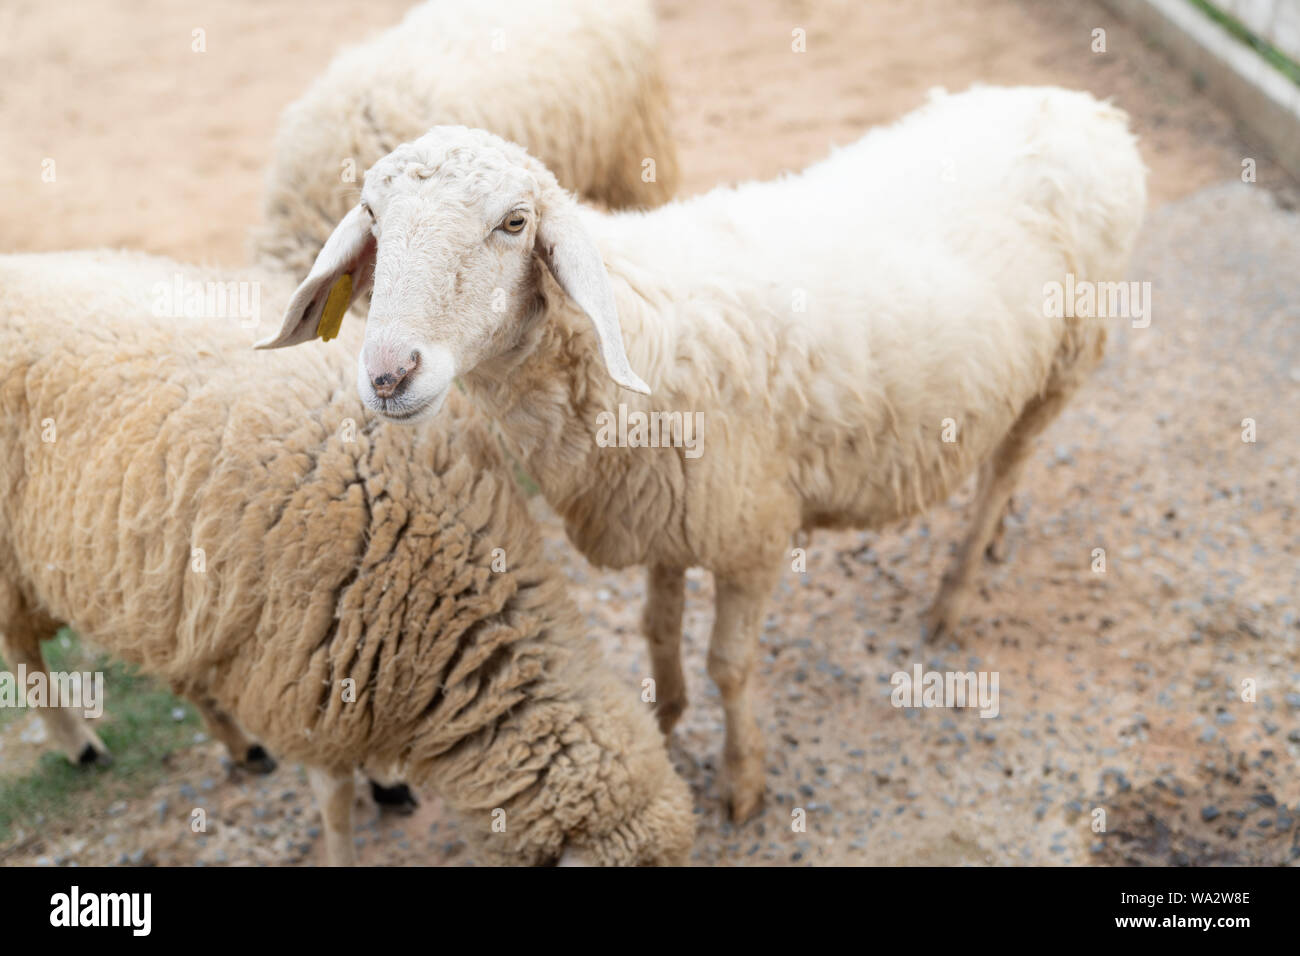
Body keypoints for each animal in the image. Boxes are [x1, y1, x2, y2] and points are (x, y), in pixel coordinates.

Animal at [0, 250, 694, 865]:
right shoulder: (305, 671)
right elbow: (333, 799)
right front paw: (351, 831)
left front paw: (384, 783)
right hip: (13, 564)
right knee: (22, 652)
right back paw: (79, 745)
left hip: (165, 584)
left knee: (178, 662)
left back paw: (239, 745)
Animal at [258, 85, 1148, 822]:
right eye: (372, 218)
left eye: (515, 223)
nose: (389, 373)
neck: (632, 334)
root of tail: (1083, 107)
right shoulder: (662, 513)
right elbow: (656, 630)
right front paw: (665, 718)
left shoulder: (752, 534)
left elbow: (730, 665)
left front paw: (742, 783)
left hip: (1066, 362)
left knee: (1005, 468)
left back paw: (955, 591)